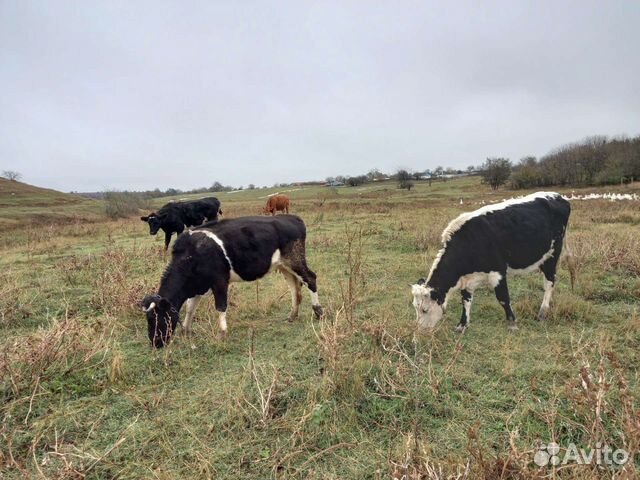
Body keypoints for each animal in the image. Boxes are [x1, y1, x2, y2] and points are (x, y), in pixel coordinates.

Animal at [141, 215, 323, 348]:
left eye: (157, 318)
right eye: (148, 318)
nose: (155, 343)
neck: (191, 253)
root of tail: (292, 218)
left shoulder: (220, 281)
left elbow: (220, 307)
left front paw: (222, 334)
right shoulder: (197, 286)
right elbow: (190, 308)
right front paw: (186, 330)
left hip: (295, 259)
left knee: (310, 279)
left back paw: (318, 311)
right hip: (284, 265)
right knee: (294, 286)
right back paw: (292, 315)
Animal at [410, 192, 574, 332]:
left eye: (425, 309)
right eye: (415, 308)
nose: (419, 331)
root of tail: (558, 196)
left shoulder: (498, 272)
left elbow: (503, 299)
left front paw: (512, 323)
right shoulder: (467, 279)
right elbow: (466, 301)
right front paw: (462, 325)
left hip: (552, 254)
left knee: (550, 282)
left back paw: (543, 311)